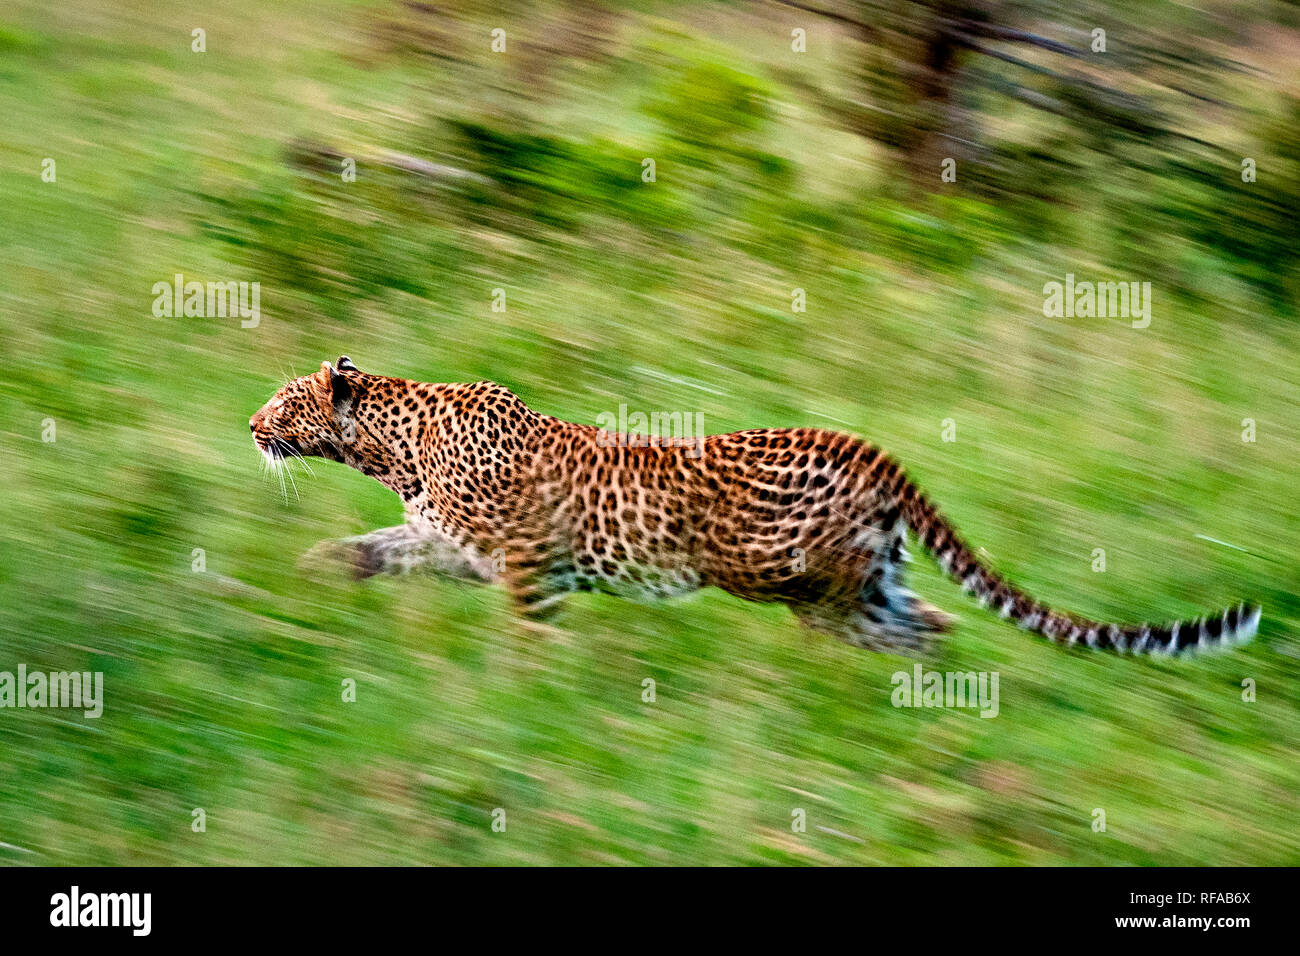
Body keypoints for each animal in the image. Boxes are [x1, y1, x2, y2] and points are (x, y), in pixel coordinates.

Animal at [249, 356, 1261, 657]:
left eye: (286, 400)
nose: (251, 424)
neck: (391, 446)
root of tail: (870, 448)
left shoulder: (526, 563)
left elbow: (529, 631)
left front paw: (529, 692)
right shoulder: (450, 545)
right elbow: (371, 548)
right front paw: (311, 573)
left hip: (781, 574)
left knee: (876, 623)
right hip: (868, 573)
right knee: (928, 622)